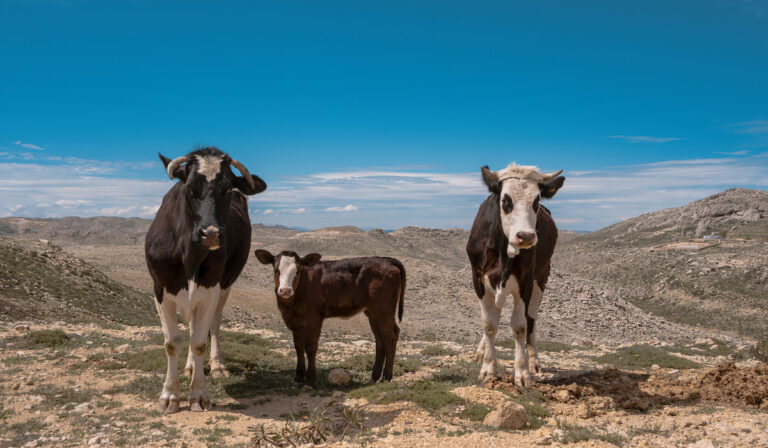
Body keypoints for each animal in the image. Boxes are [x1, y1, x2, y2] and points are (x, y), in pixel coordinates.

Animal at [145, 146, 266, 413]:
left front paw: (198, 394)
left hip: (225, 285)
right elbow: (172, 342)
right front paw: (169, 395)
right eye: (190, 188)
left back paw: (216, 365)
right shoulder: (160, 289)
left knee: (213, 324)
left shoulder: (212, 286)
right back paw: (190, 366)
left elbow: (200, 341)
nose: (210, 233)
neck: (189, 255)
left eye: (228, 189)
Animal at [253, 250, 406, 387]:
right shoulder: (295, 321)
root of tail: (385, 260)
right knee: (380, 339)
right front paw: (298, 378)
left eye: (297, 271)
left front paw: (310, 380)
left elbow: (310, 347)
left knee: (391, 336)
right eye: (276, 270)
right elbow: (298, 347)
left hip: (384, 310)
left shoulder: (314, 318)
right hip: (372, 312)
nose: (285, 290)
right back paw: (374, 377)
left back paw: (386, 377)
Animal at [466, 163, 564, 386]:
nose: (526, 236)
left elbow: (520, 326)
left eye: (536, 201)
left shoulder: (525, 282)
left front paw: (522, 372)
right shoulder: (479, 280)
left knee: (531, 319)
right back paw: (481, 351)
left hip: (542, 277)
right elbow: (489, 324)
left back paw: (534, 361)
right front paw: (488, 368)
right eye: (505, 200)